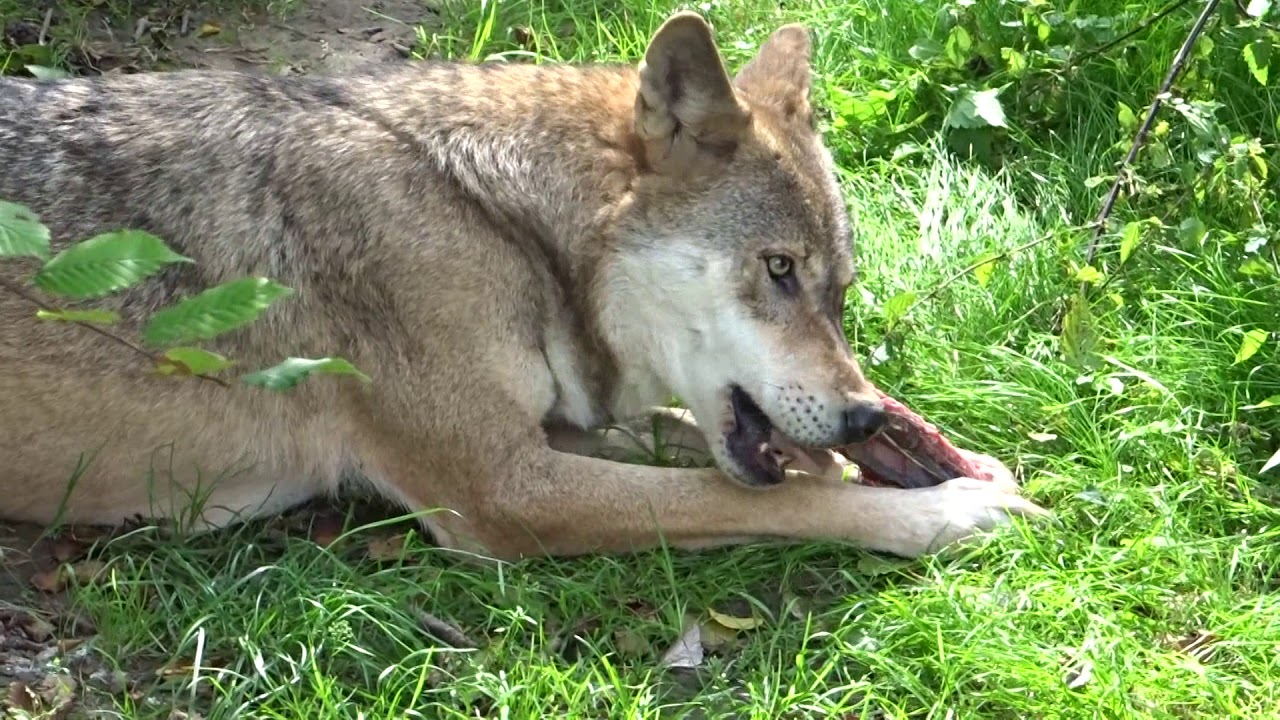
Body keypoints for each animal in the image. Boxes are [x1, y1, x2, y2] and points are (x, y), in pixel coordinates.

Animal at [0, 12, 1047, 561]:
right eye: (778, 269)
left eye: (838, 291)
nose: (867, 417)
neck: (495, 222)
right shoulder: (502, 489)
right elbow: (762, 501)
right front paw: (950, 512)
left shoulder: (553, 426)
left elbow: (696, 442)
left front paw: (940, 466)